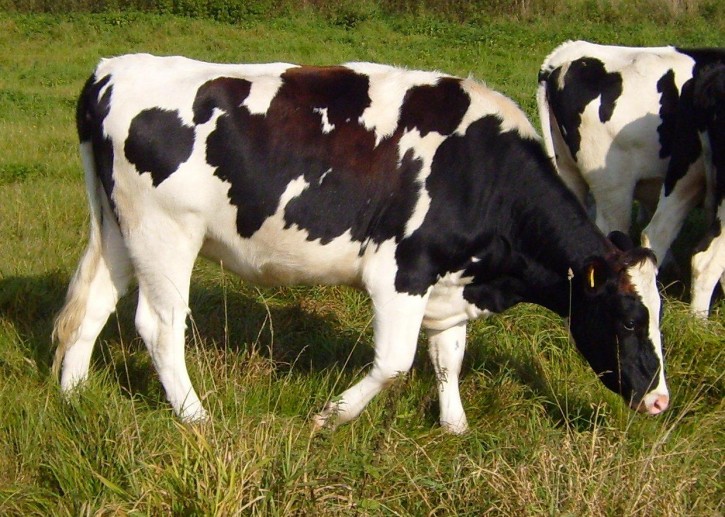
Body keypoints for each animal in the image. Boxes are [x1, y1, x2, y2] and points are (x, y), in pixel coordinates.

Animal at [53, 54, 669, 434]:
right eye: (629, 319)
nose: (660, 400)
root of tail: (114, 69)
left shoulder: (450, 283)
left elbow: (448, 357)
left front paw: (455, 426)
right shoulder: (401, 271)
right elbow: (395, 362)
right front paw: (330, 416)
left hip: (119, 228)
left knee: (94, 306)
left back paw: (74, 397)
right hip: (165, 232)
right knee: (158, 327)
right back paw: (195, 417)